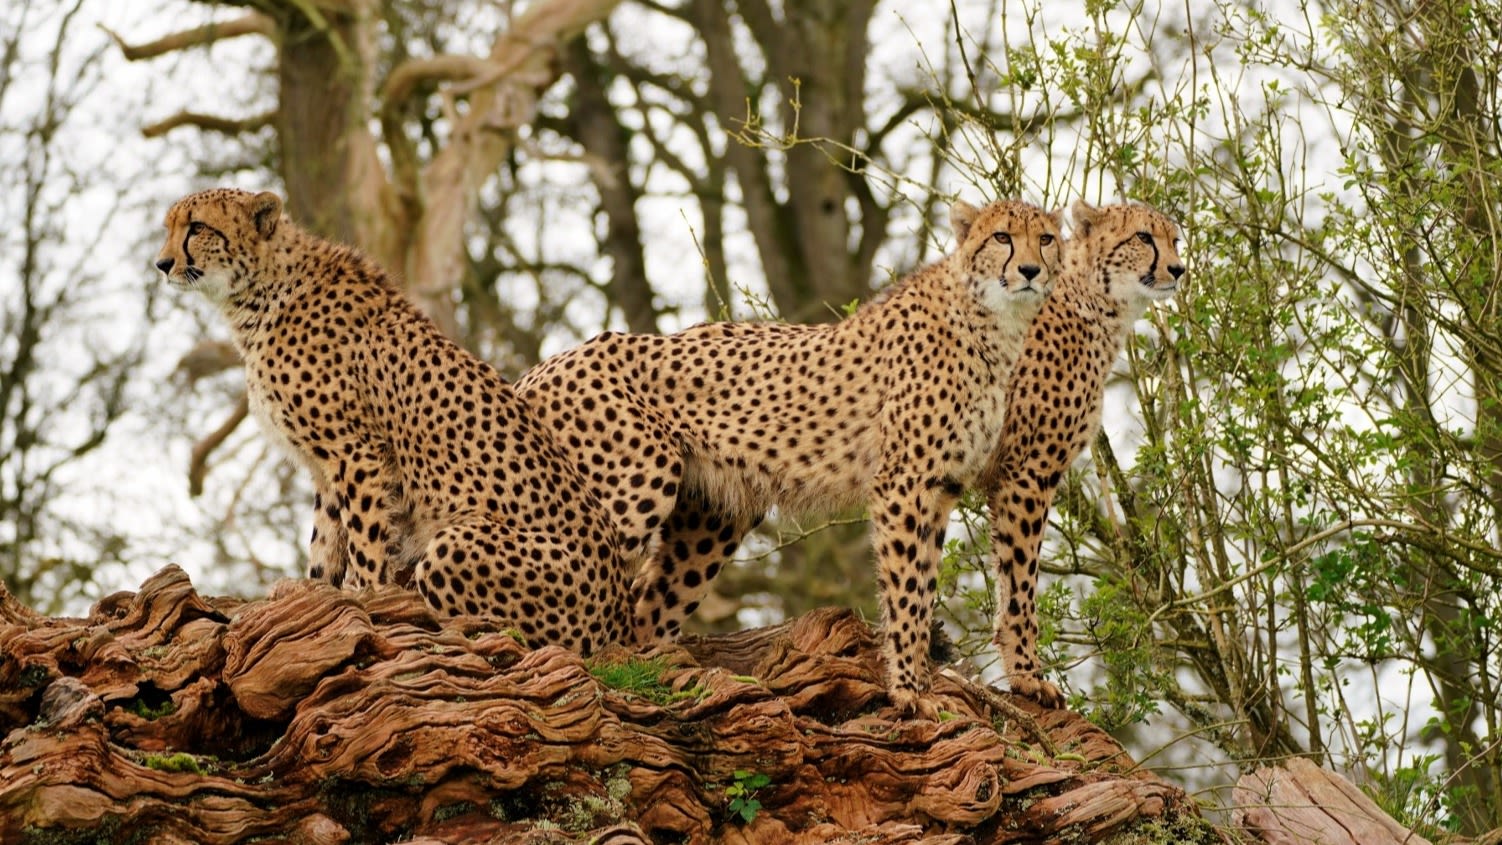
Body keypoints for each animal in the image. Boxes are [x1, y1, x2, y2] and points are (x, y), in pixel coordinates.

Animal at [154, 188, 633, 653]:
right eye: (170, 227)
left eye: (196, 227)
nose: (162, 264)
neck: (260, 294)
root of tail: (619, 612)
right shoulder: (327, 467)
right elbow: (325, 544)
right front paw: (317, 597)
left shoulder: (355, 451)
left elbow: (364, 541)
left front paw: (368, 598)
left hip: (456, 545)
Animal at [516, 199, 1064, 714]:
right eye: (1002, 237)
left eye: (1047, 239)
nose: (1031, 271)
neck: (994, 322)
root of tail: (546, 364)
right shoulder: (906, 483)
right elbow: (909, 591)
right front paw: (909, 690)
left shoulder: (949, 485)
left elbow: (973, 582)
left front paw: (1009, 681)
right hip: (635, 484)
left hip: (711, 521)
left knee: (648, 605)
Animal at [978, 199, 1185, 707]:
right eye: (1143, 237)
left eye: (1175, 240)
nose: (1178, 268)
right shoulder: (1027, 473)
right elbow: (1021, 581)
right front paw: (1027, 675)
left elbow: (1005, 578)